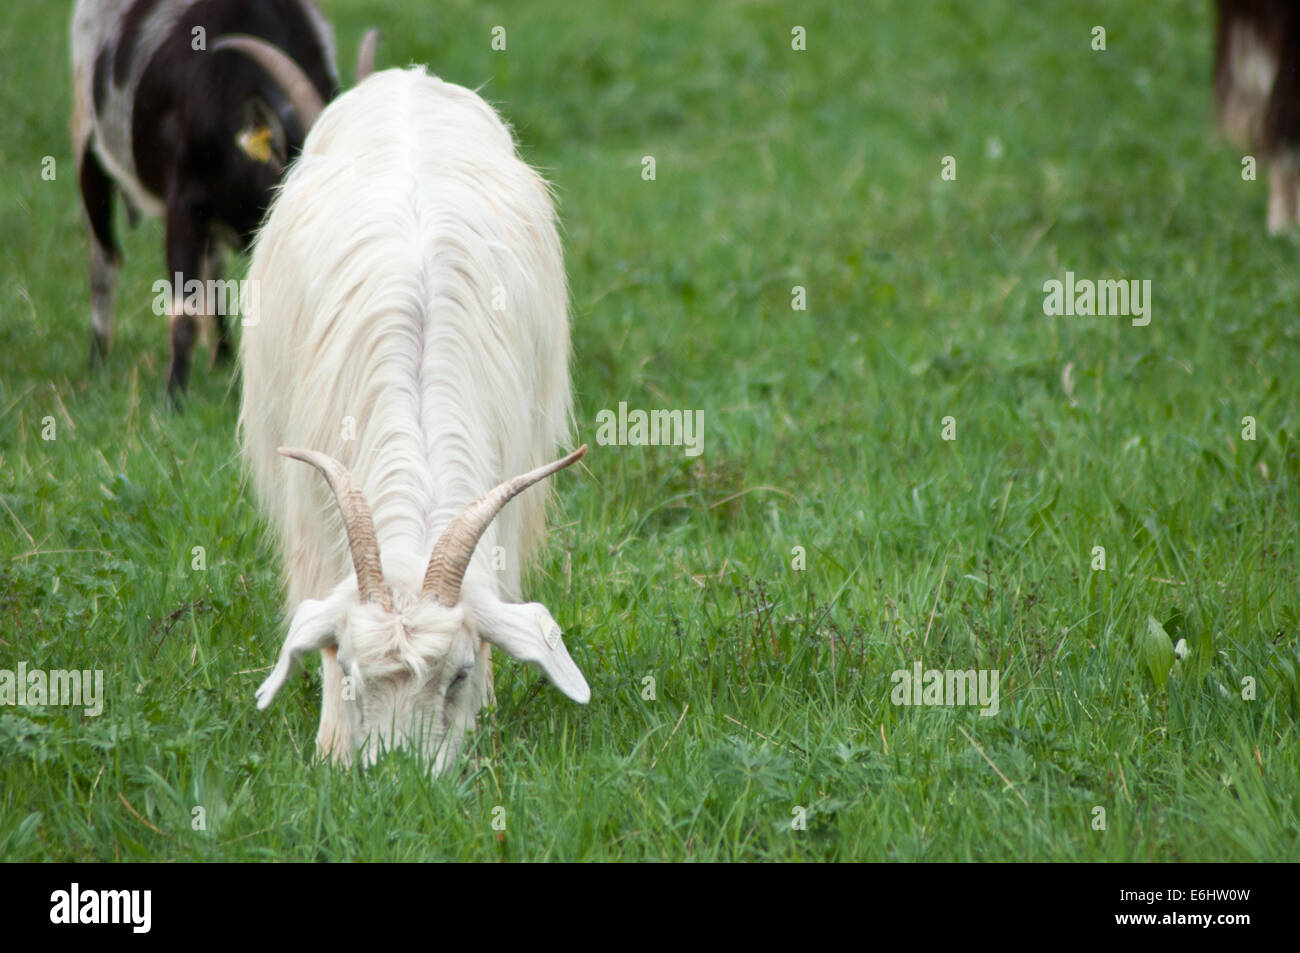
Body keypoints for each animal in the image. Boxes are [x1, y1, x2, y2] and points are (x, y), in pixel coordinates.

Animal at [70, 0, 374, 394]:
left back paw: (223, 358)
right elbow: (183, 310)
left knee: (212, 268)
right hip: (88, 137)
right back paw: (98, 361)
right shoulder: (184, 201)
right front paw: (173, 397)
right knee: (104, 255)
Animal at [228, 51, 589, 773]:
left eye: (458, 674)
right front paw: (332, 742)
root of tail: (405, 75)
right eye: (352, 672)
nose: (400, 778)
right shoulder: (312, 505)